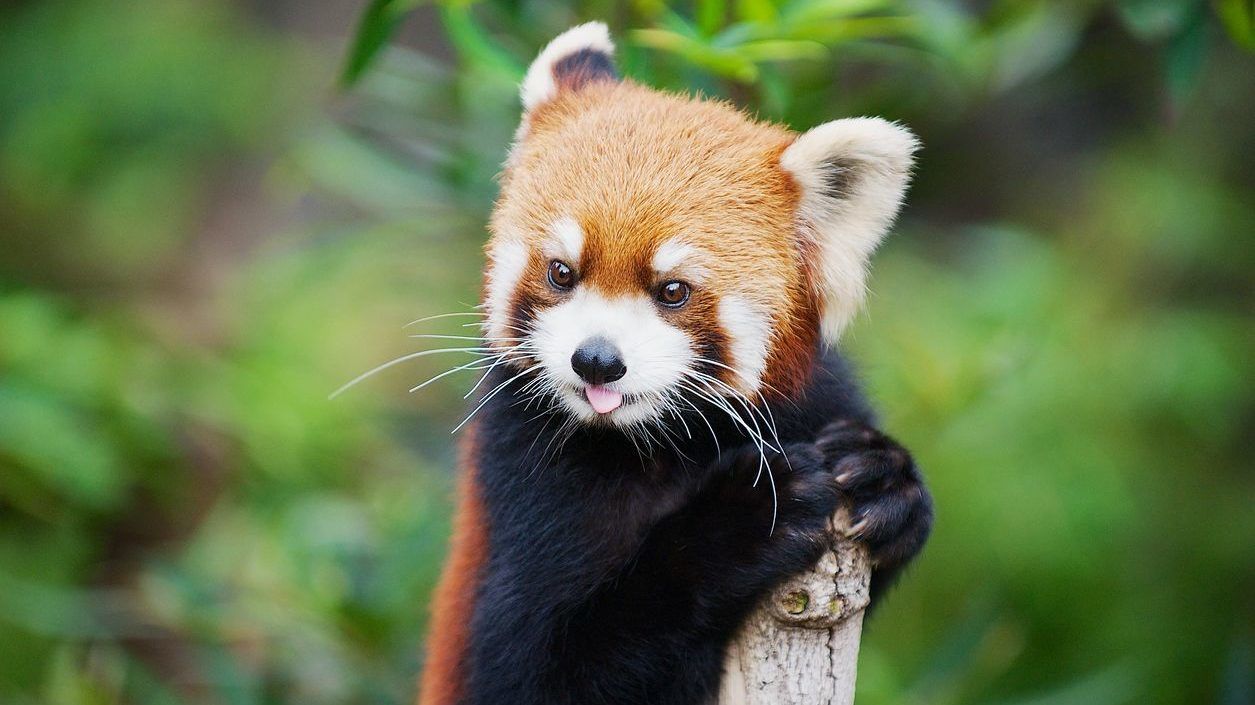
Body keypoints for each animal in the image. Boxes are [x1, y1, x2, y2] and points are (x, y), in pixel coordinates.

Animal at [417, 22, 933, 705]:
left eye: (673, 291)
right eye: (561, 272)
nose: (596, 362)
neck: (661, 442)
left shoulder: (817, 401)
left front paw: (882, 475)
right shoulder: (525, 484)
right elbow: (535, 668)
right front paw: (744, 521)